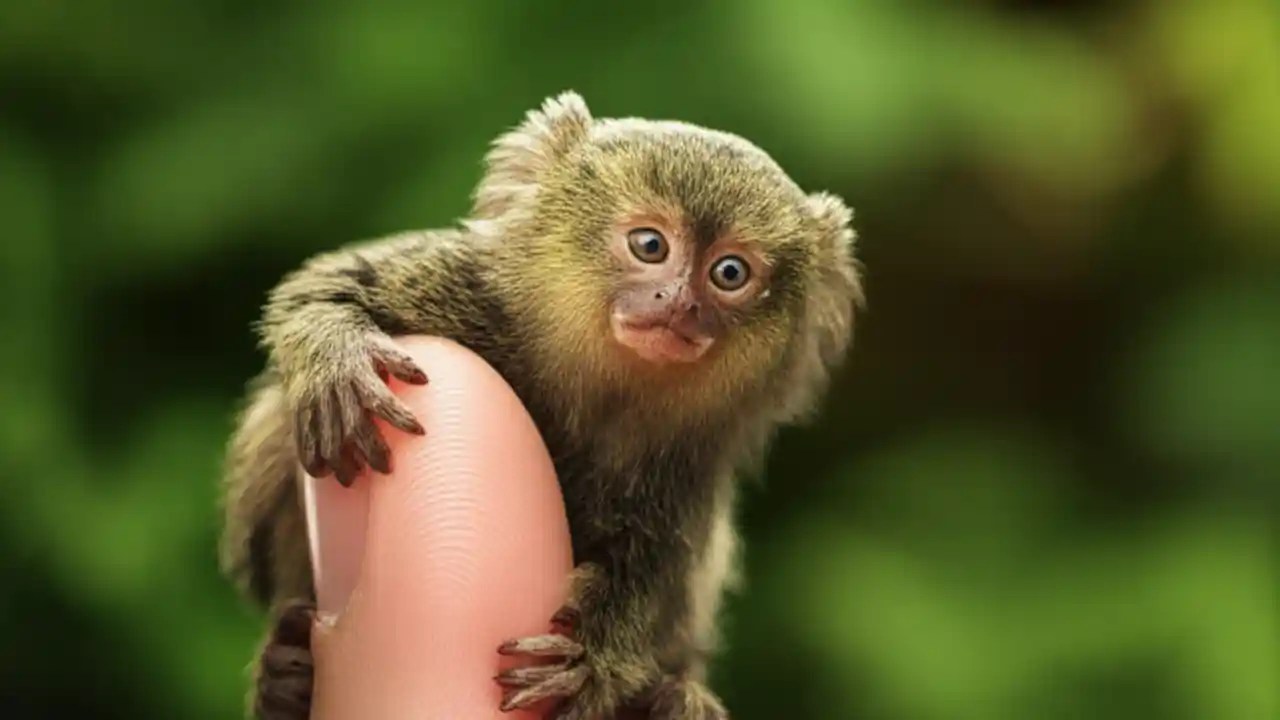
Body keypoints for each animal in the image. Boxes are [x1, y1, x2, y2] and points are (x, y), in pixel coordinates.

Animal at [219, 90, 864, 720]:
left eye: (729, 273)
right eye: (650, 245)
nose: (679, 304)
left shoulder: (688, 468)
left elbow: (653, 577)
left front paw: (591, 658)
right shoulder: (458, 291)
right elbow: (324, 288)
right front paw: (340, 358)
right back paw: (286, 678)